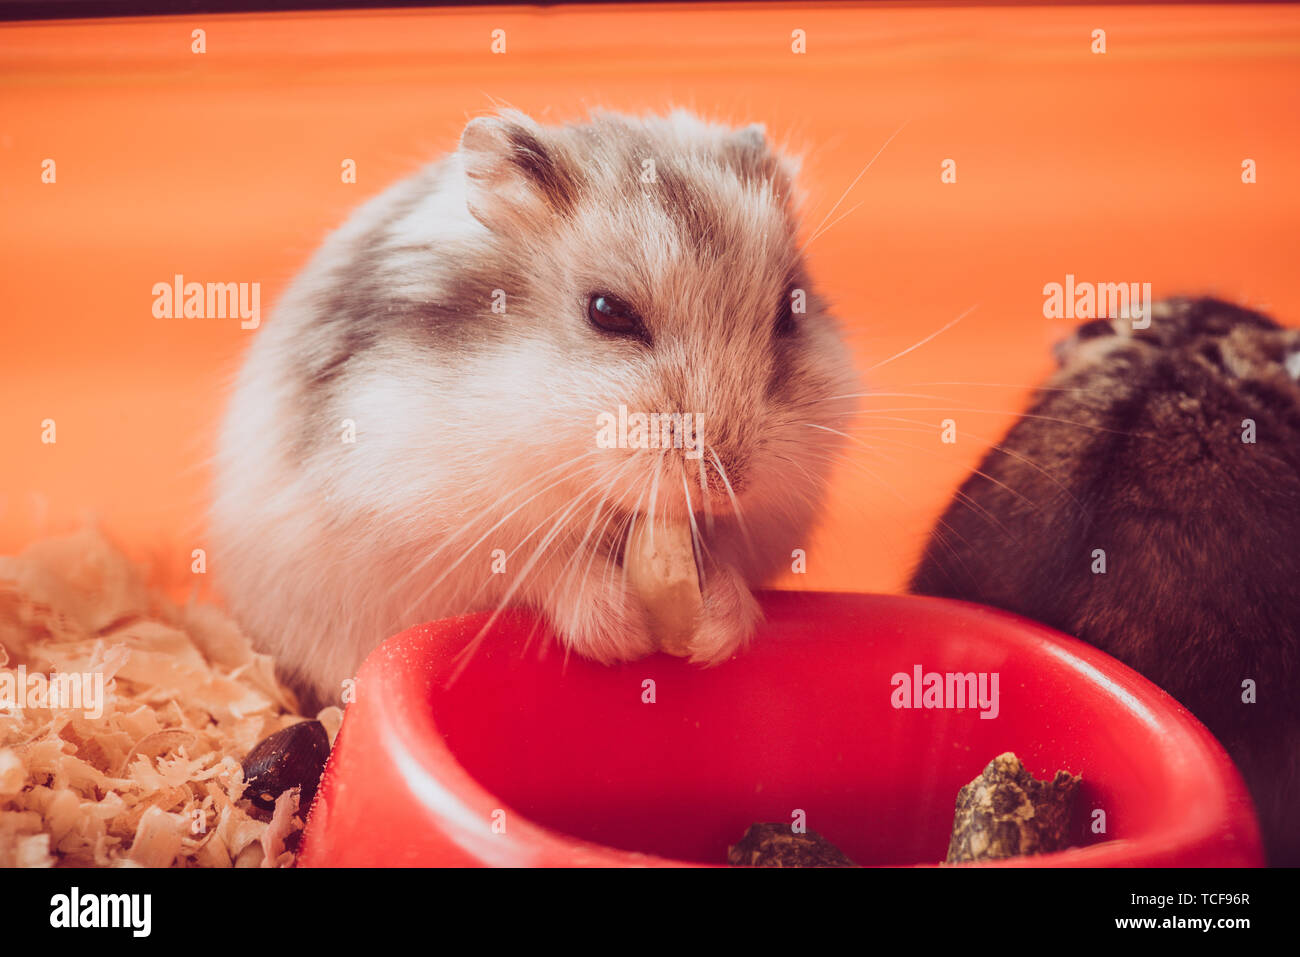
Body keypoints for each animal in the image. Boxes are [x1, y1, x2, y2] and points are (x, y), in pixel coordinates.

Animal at [211, 108, 859, 712]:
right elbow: (540, 563)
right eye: (607, 311)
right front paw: (622, 638)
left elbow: (729, 561)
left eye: (789, 313)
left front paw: (712, 637)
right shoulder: (425, 523)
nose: (724, 486)